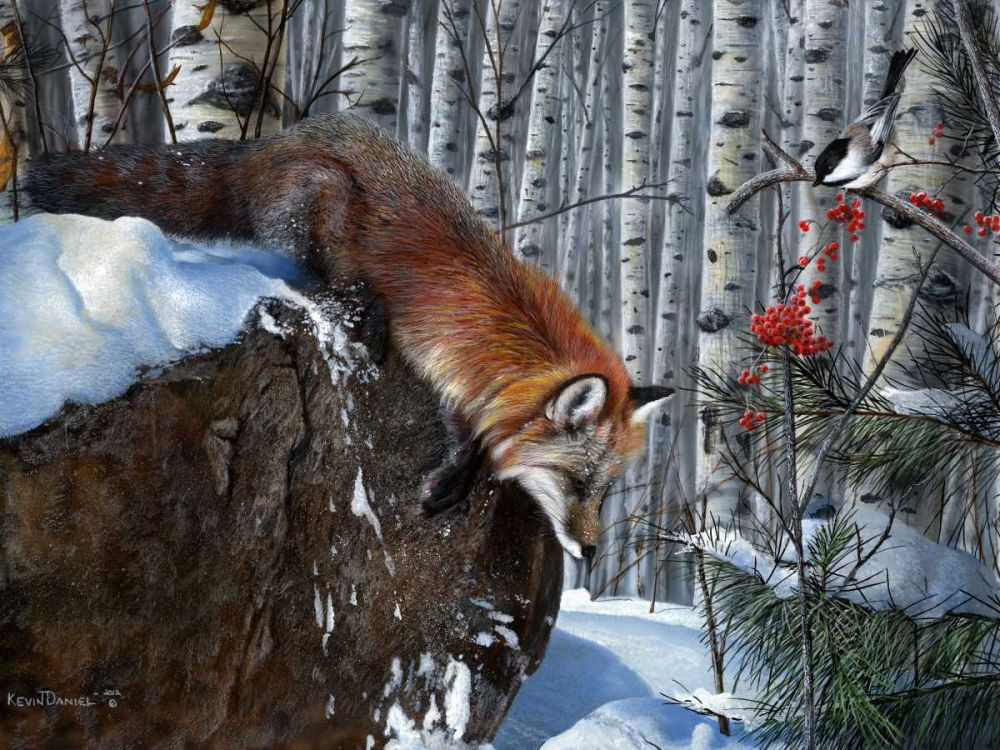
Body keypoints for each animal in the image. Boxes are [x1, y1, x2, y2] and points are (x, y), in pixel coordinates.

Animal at [25, 113, 672, 560]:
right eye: (576, 481)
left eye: (605, 491)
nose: (590, 551)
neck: (511, 338)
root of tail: (278, 140)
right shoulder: (445, 365)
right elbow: (467, 437)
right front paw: (452, 481)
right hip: (321, 200)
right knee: (312, 268)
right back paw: (356, 297)